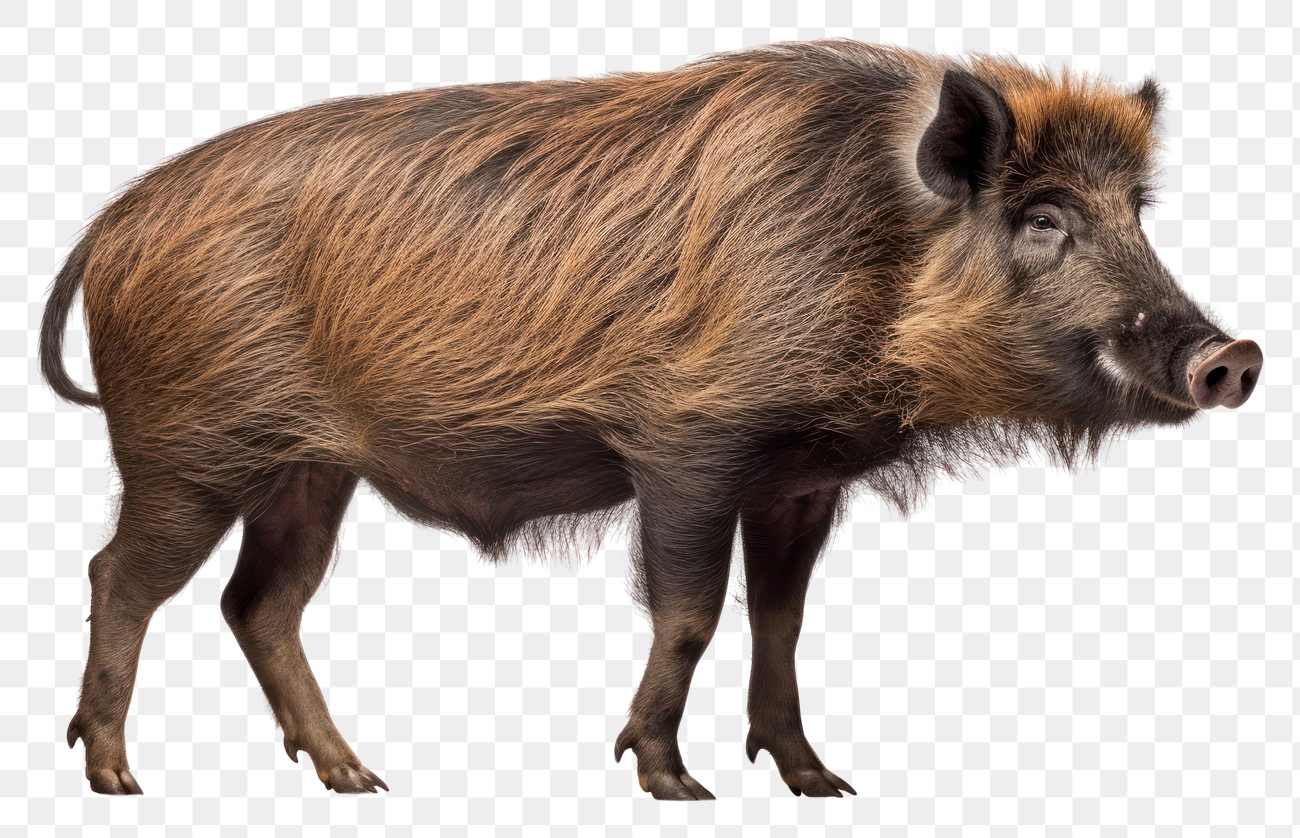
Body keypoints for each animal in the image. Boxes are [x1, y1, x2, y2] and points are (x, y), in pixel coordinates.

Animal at [42, 40, 1262, 800]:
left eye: (1136, 213)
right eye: (1044, 218)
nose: (1233, 355)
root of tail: (110, 223)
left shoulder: (802, 477)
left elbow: (783, 618)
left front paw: (820, 782)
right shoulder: (687, 445)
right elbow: (691, 613)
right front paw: (675, 782)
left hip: (309, 472)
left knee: (260, 602)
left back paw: (359, 779)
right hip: (186, 449)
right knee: (123, 576)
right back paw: (116, 779)